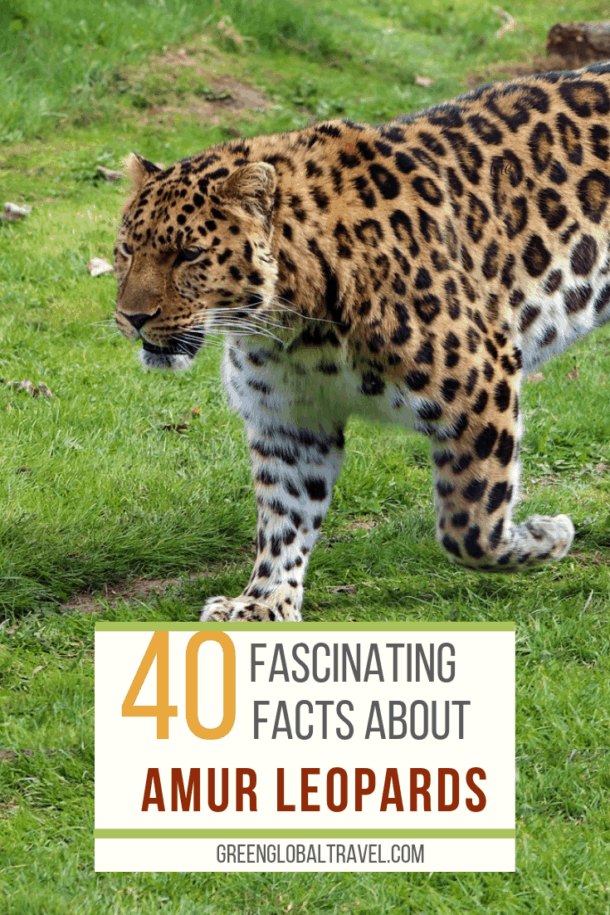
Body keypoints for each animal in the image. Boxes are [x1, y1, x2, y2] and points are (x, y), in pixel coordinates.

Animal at [114, 60, 610, 622]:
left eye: (189, 254)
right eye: (127, 249)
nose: (132, 317)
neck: (294, 326)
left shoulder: (484, 380)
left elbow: (470, 523)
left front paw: (548, 537)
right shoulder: (290, 420)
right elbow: (284, 516)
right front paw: (264, 603)